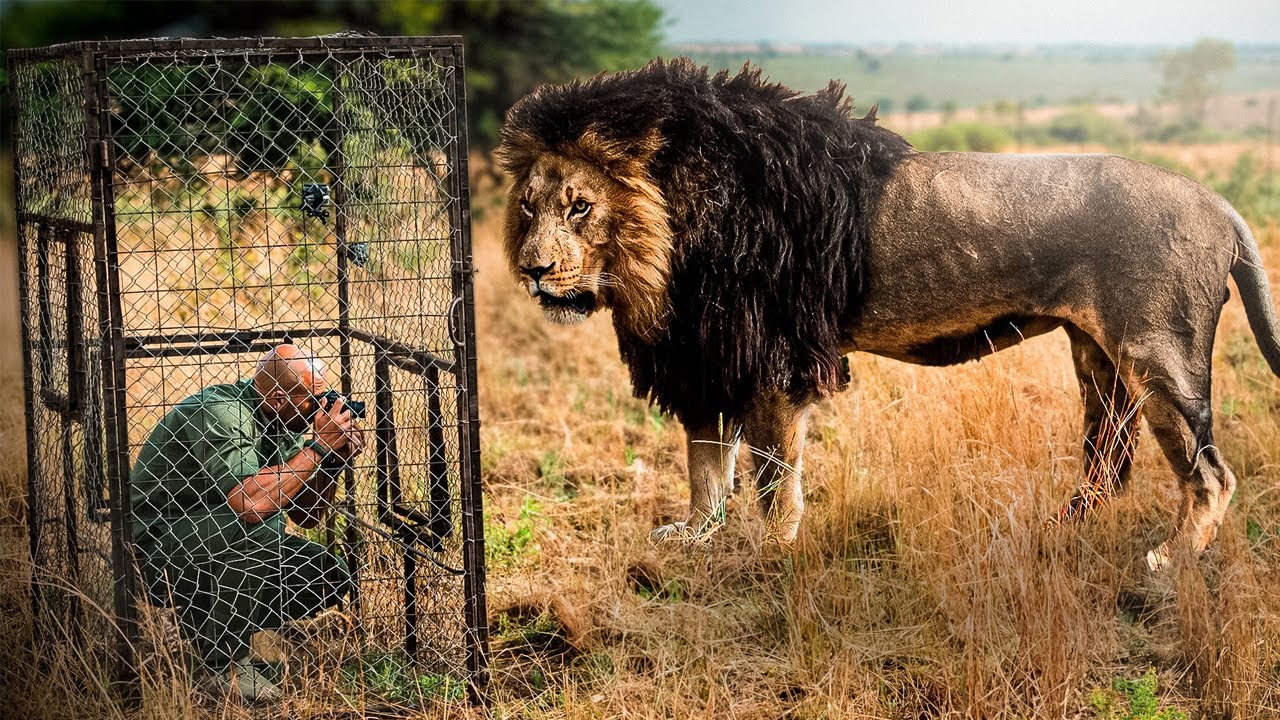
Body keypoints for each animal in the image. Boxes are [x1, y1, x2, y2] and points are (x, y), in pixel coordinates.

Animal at [496, 59, 1280, 571]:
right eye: (528, 208)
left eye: (580, 206)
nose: (532, 269)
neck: (662, 250)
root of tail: (1219, 203)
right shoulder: (706, 357)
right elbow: (705, 466)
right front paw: (696, 538)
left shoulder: (773, 360)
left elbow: (773, 478)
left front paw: (770, 555)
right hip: (1097, 355)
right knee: (1107, 460)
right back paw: (1063, 533)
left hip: (1157, 356)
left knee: (1210, 476)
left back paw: (1169, 561)